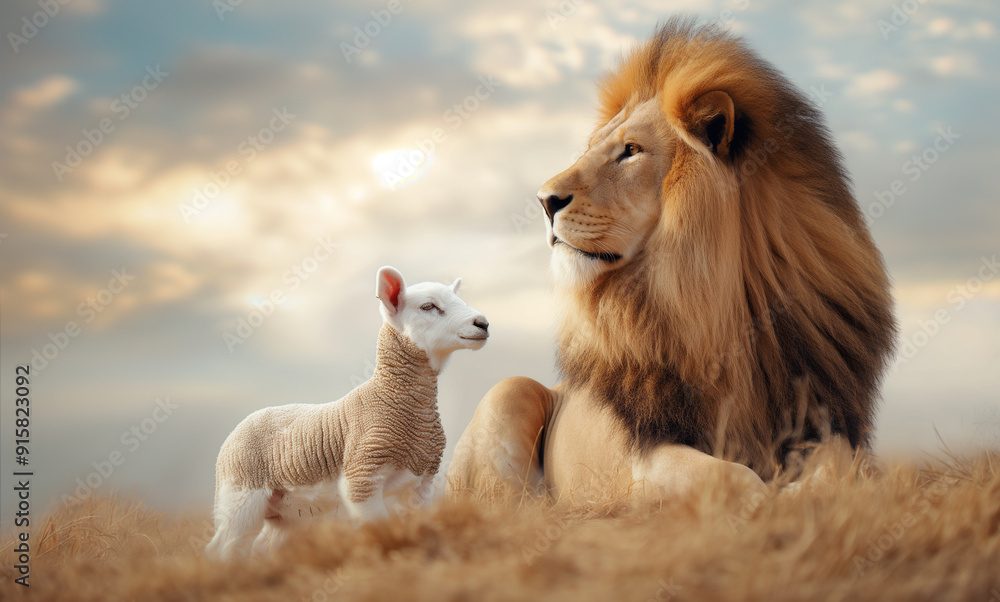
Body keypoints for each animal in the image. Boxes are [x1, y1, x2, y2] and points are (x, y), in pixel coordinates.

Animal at [206, 266, 489, 559]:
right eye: (428, 306)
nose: (483, 324)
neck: (391, 399)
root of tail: (240, 424)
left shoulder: (422, 484)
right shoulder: (361, 478)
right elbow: (378, 527)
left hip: (287, 511)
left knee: (264, 544)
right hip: (239, 494)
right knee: (225, 546)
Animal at [448, 19, 897, 499]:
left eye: (631, 150)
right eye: (593, 147)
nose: (544, 201)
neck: (722, 308)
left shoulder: (825, 420)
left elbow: (840, 466)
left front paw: (809, 491)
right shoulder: (644, 457)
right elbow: (737, 477)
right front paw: (775, 497)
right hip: (510, 392)